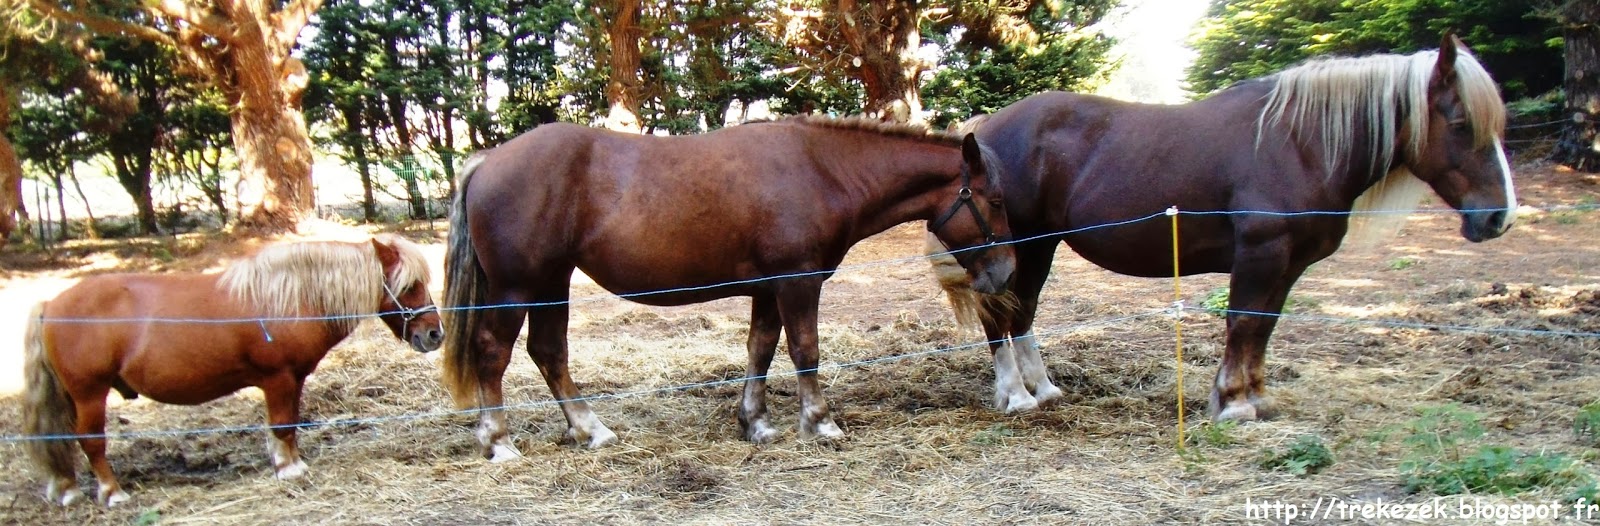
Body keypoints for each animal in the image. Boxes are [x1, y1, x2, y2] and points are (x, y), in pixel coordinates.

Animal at [21, 234, 443, 506]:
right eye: (408, 285)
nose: (434, 334)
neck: (288, 298)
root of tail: (51, 304)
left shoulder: (292, 380)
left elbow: (285, 425)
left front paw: (284, 460)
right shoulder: (278, 378)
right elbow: (282, 424)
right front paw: (290, 469)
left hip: (73, 397)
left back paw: (67, 489)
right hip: (90, 394)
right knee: (91, 442)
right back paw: (112, 493)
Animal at [441, 116, 1015, 461]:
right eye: (995, 200)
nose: (1006, 271)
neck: (820, 169)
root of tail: (489, 159)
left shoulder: (769, 287)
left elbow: (760, 349)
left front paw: (755, 423)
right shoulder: (797, 281)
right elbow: (804, 350)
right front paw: (820, 422)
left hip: (550, 284)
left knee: (549, 353)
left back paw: (590, 430)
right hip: (519, 288)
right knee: (494, 354)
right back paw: (498, 441)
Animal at [930, 35, 1516, 422]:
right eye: (1460, 122)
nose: (1498, 217)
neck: (1299, 144)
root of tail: (988, 127)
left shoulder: (1288, 265)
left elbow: (1263, 327)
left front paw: (1254, 397)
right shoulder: (1262, 254)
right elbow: (1244, 322)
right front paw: (1232, 404)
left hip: (1039, 248)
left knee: (1023, 311)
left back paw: (1046, 390)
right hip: (1021, 248)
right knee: (1000, 317)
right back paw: (1016, 396)